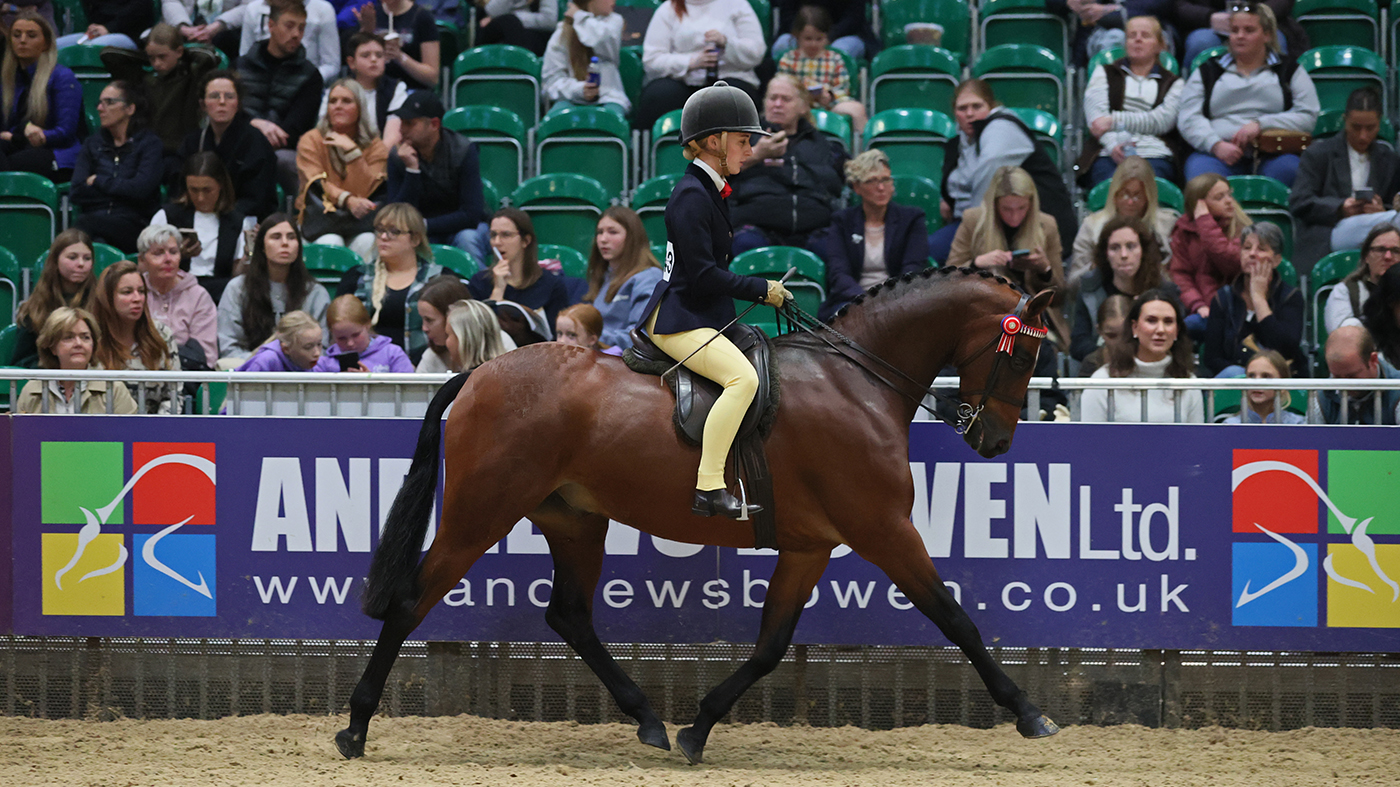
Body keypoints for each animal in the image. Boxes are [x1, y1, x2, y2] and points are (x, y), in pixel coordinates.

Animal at [336, 266, 1061, 764]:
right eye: (1025, 354)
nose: (997, 441)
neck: (854, 382)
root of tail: (481, 373)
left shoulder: (811, 546)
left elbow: (770, 646)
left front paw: (699, 726)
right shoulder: (883, 529)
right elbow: (956, 618)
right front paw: (1030, 713)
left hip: (575, 520)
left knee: (569, 615)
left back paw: (649, 720)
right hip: (480, 513)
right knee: (412, 602)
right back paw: (355, 726)